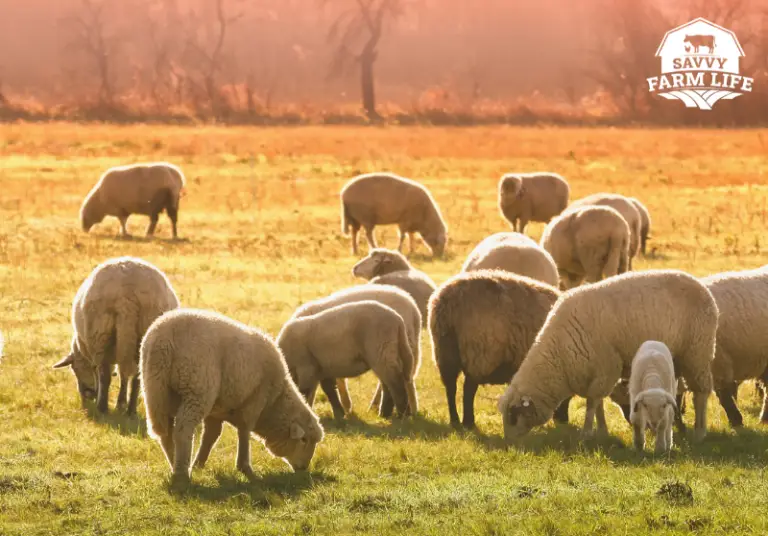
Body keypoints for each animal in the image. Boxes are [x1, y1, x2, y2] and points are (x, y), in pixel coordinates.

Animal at [53, 256, 179, 415]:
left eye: (75, 369)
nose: (87, 394)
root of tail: (127, 293)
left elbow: (100, 373)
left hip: (100, 333)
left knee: (104, 374)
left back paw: (103, 408)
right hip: (146, 329)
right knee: (137, 376)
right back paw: (130, 410)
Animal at [140, 308, 324, 485]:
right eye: (304, 440)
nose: (304, 468)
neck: (275, 402)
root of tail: (163, 339)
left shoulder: (216, 410)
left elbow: (211, 436)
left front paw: (199, 464)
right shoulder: (255, 400)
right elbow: (244, 431)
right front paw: (245, 468)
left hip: (157, 390)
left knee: (165, 433)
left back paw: (176, 464)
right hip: (197, 389)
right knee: (182, 430)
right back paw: (182, 473)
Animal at [287, 284, 421, 417]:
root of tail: (414, 309)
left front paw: (345, 407)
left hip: (387, 349)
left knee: (400, 381)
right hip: (403, 346)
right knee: (403, 378)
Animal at [429, 270, 561, 429]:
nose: (563, 421)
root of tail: (448, 300)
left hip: (445, 352)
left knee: (450, 387)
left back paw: (454, 420)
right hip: (478, 352)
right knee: (468, 389)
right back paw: (468, 422)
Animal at [498, 270, 717, 443]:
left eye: (513, 416)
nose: (508, 443)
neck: (559, 357)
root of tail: (703, 288)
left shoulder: (607, 367)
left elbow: (592, 403)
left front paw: (587, 433)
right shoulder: (594, 372)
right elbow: (598, 404)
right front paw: (602, 431)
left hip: (697, 353)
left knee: (701, 394)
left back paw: (700, 432)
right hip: (678, 359)